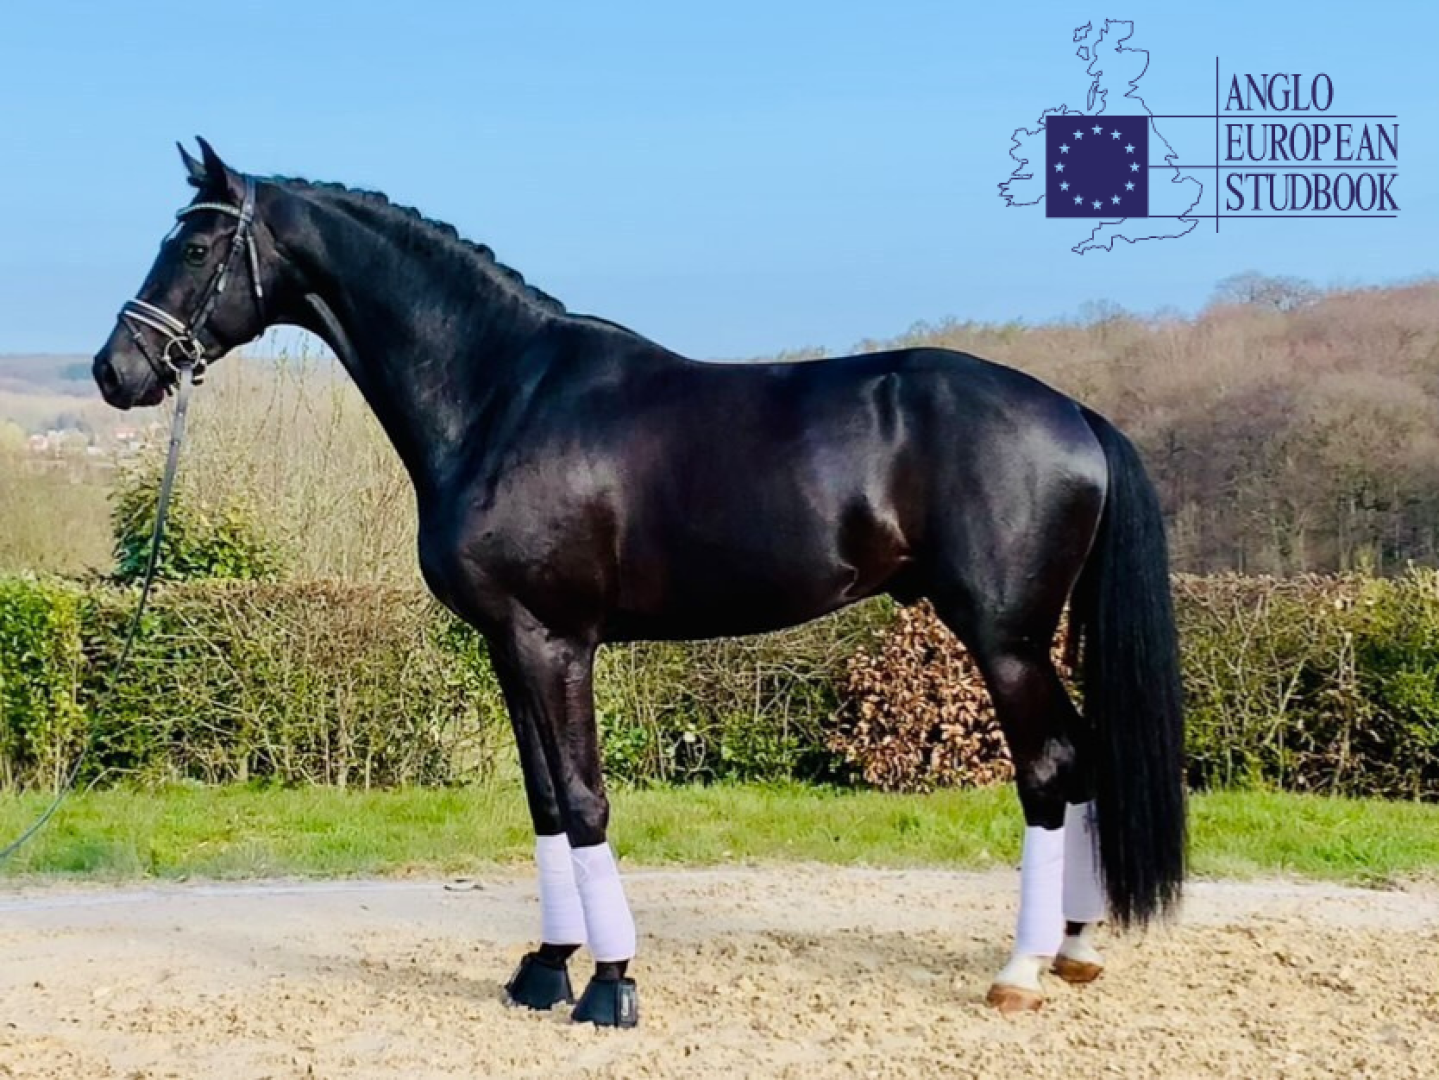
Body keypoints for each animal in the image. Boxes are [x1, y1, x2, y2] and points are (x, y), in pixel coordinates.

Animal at [93, 139, 1186, 1026]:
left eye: (197, 247)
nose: (116, 371)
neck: (500, 395)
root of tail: (1075, 415)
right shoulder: (506, 644)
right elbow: (542, 802)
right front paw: (544, 969)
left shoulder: (555, 641)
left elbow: (584, 802)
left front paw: (610, 985)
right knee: (1080, 761)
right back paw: (1074, 950)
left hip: (1003, 637)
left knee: (1048, 769)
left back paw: (1021, 969)